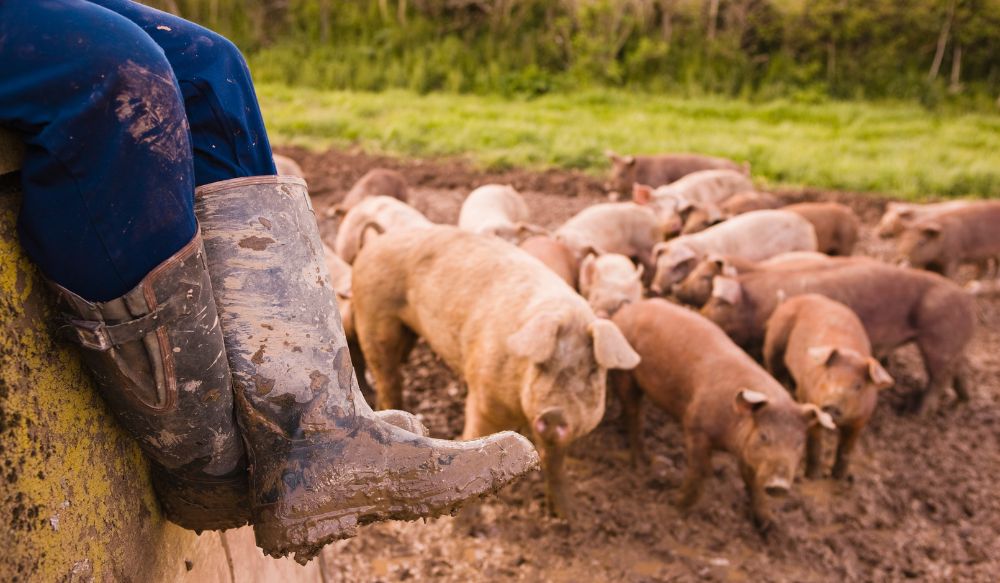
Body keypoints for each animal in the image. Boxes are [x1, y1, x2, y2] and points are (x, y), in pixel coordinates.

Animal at [352, 226, 640, 517]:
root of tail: (378, 240)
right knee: (387, 376)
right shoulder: (483, 400)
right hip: (373, 316)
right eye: (542, 364)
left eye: (592, 371)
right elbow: (473, 445)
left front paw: (571, 518)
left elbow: (555, 464)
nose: (555, 414)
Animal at [610, 299, 834, 531]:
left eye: (799, 443)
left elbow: (752, 481)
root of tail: (629, 308)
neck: (728, 438)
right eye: (764, 436)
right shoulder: (695, 426)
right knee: (634, 412)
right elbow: (701, 470)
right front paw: (675, 505)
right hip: (625, 372)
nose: (779, 485)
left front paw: (768, 525)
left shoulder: (746, 452)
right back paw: (640, 464)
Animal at [700, 259, 974, 415]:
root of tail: (965, 297)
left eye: (718, 304)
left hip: (940, 338)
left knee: (938, 379)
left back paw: (912, 412)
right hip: (952, 343)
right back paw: (961, 401)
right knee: (959, 369)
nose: (700, 314)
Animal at [763, 295, 894, 479]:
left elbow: (846, 450)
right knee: (773, 368)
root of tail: (797, 297)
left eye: (858, 385)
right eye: (830, 376)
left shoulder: (860, 420)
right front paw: (812, 477)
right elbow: (814, 445)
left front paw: (839, 478)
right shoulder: (811, 402)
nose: (832, 404)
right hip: (774, 341)